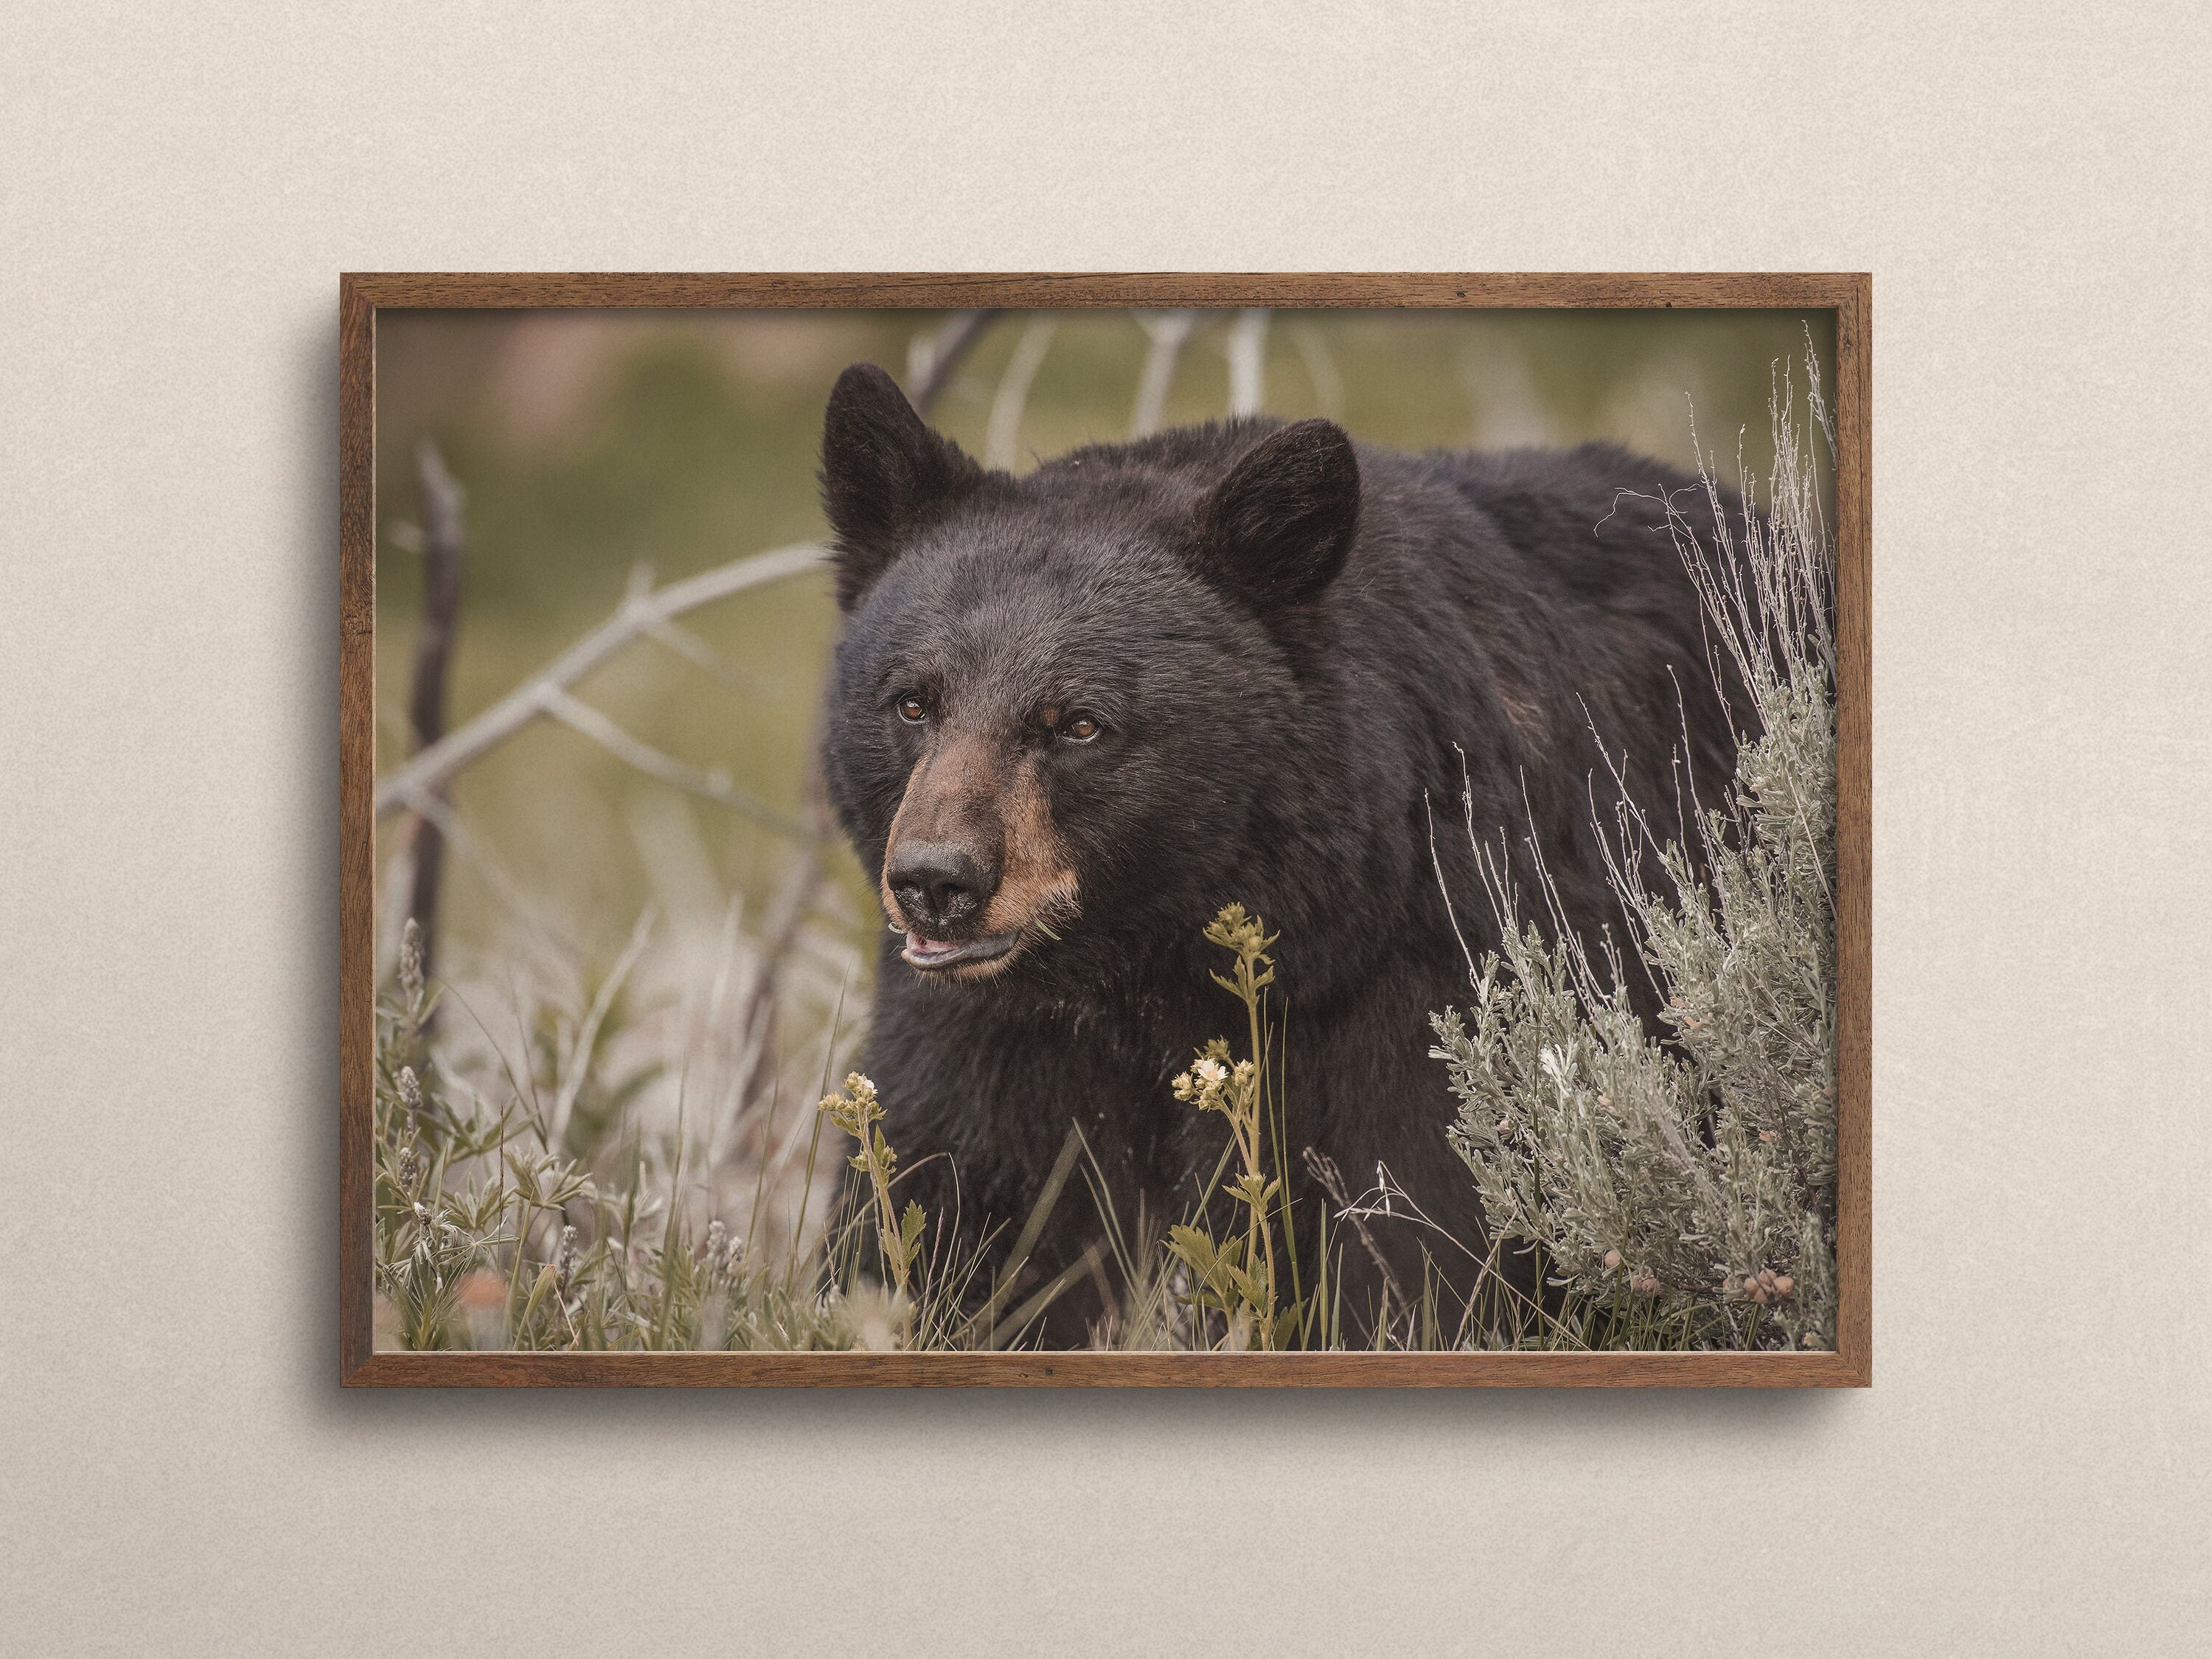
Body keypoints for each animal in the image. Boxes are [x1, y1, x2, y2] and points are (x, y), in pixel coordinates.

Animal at [814, 360, 1742, 1346]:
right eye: (913, 702)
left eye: (1078, 723)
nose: (936, 881)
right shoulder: (991, 1034)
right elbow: (953, 1199)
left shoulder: (1440, 969)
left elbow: (1422, 1234)